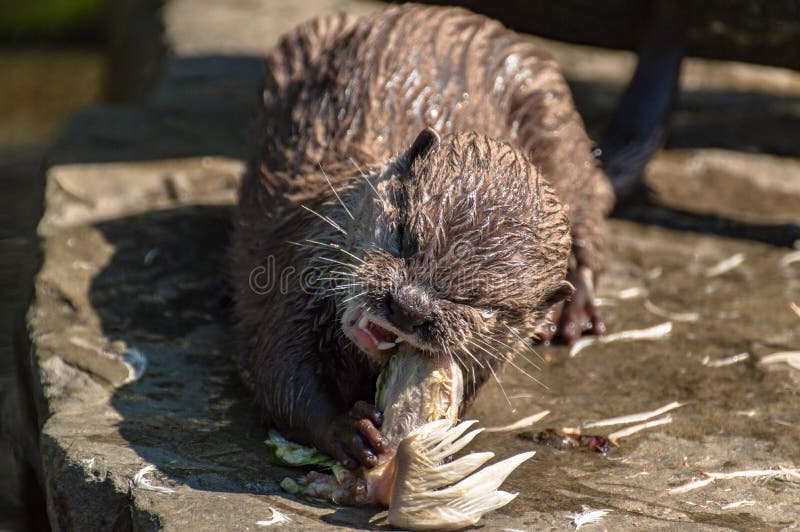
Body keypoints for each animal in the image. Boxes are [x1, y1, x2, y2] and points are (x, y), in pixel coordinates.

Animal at [230, 4, 614, 470]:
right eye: (405, 236)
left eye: (478, 301)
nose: (409, 306)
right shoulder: (299, 276)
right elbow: (280, 372)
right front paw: (349, 429)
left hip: (557, 119)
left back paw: (574, 312)